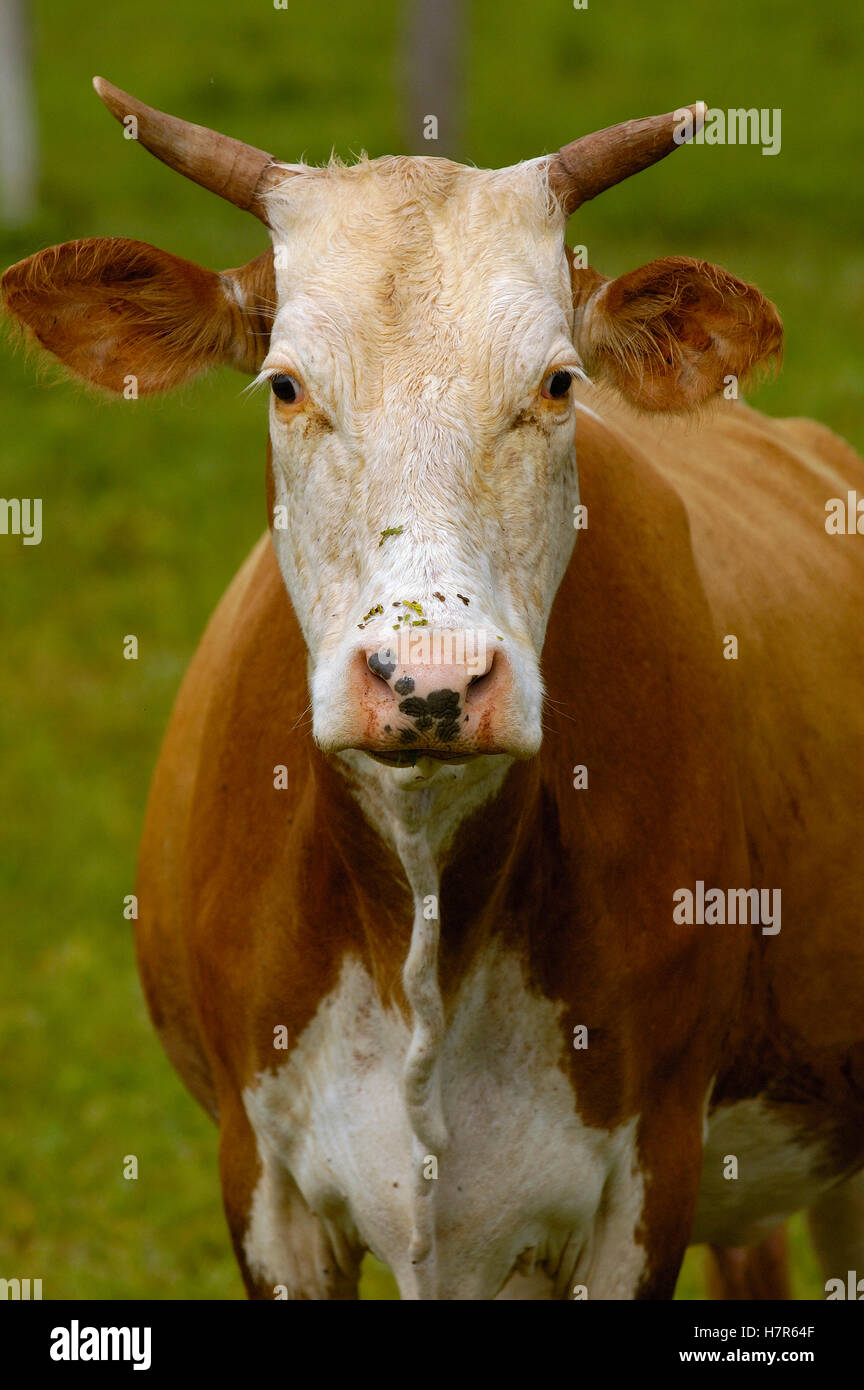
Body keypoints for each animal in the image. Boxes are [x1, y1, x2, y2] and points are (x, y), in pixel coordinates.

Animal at [4, 78, 864, 1301]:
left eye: (558, 382)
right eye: (286, 385)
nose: (430, 682)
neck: (419, 909)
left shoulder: (644, 1183)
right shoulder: (264, 1187)